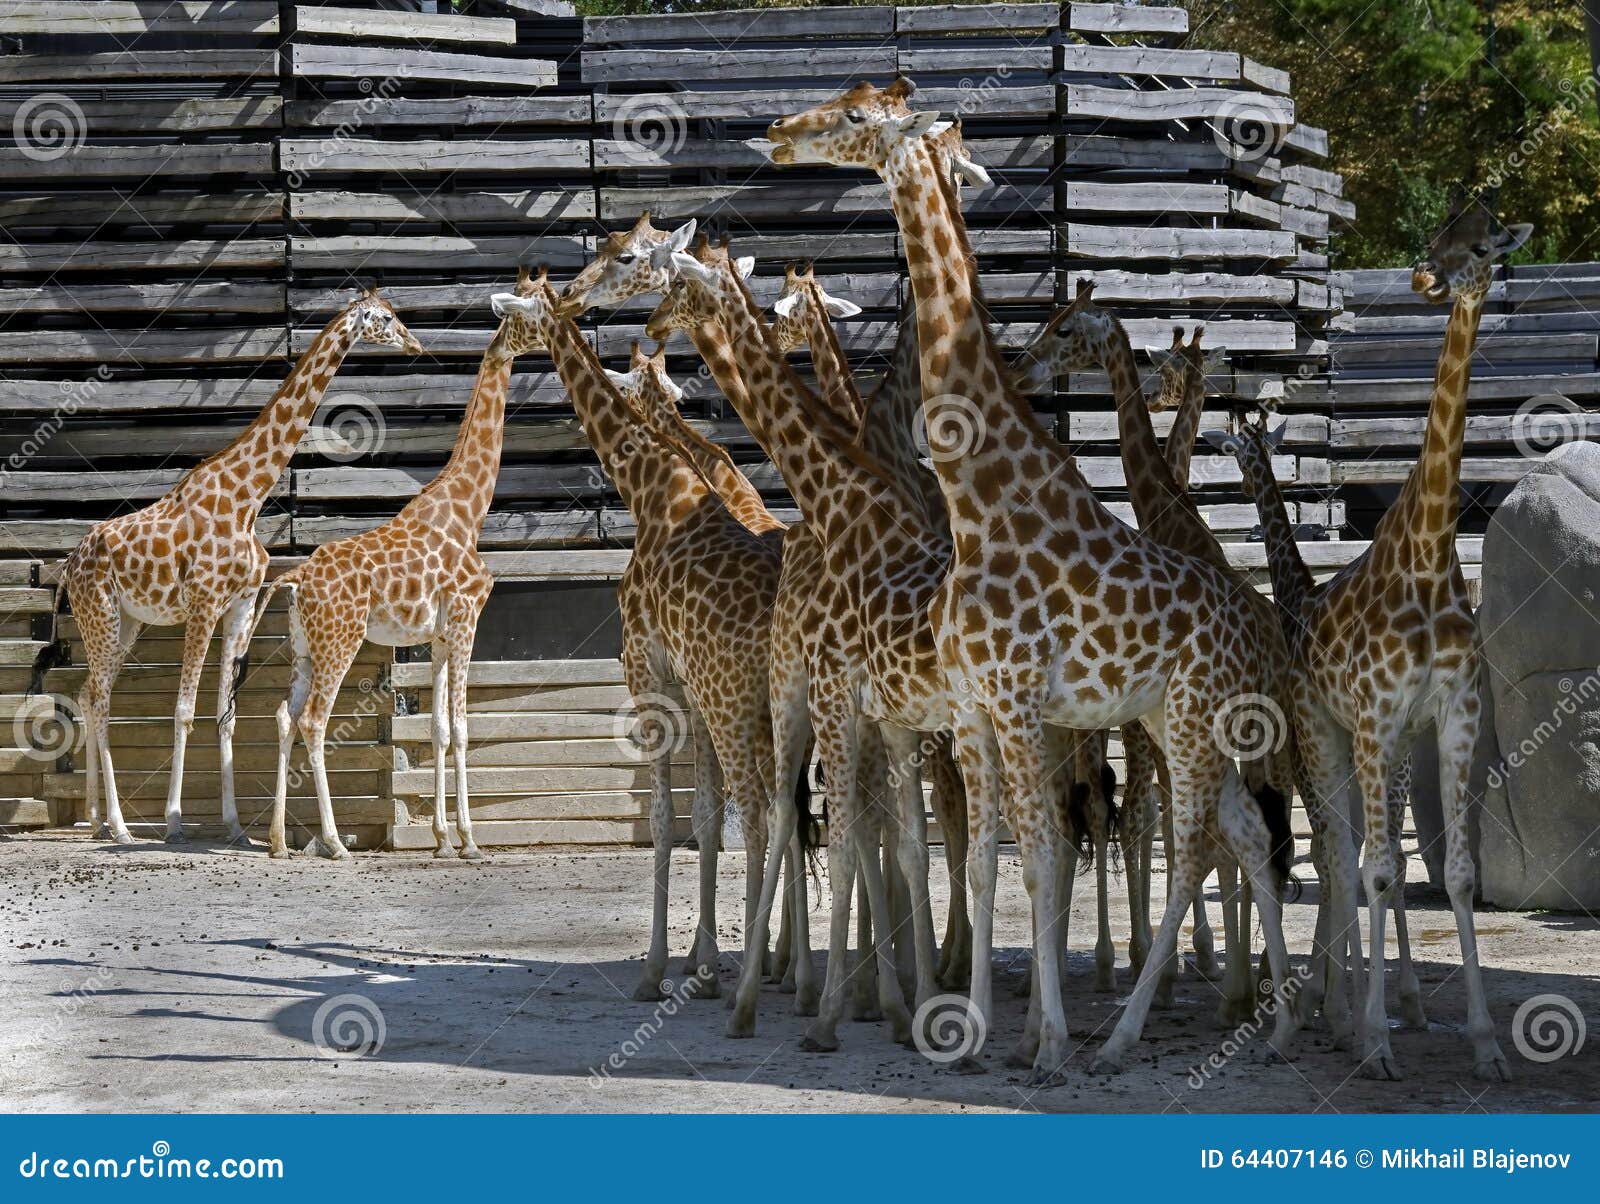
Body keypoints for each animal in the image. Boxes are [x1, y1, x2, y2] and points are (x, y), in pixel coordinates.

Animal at [32, 289, 421, 847]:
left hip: (125, 623)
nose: (416, 344)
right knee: (101, 701)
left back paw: (96, 820)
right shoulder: (203, 603)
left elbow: (226, 716)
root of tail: (67, 565)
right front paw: (175, 821)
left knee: (87, 695)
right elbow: (183, 711)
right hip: (99, 616)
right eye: (387, 318)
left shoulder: (239, 605)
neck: (247, 498)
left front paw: (237, 827)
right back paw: (123, 828)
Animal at [490, 273, 807, 1005]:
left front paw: (662, 968)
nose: (492, 345)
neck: (649, 487)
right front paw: (701, 959)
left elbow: (669, 819)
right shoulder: (687, 690)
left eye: (515, 309)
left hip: (735, 704)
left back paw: (757, 978)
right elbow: (704, 819)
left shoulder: (649, 676)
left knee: (764, 815)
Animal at [767, 79, 1299, 1082]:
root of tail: (1258, 636)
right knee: (1244, 834)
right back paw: (1274, 1014)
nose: (779, 132)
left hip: (1192, 721)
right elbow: (986, 860)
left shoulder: (1016, 700)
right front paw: (976, 1032)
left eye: (855, 116)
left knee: (1200, 844)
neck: (977, 499)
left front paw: (1044, 1042)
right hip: (1174, 720)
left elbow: (1044, 856)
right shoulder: (979, 706)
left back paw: (1127, 1033)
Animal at [1275, 197, 1525, 1083]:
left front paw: (1487, 1046)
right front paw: (1376, 1043)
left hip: (1383, 746)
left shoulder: (1451, 714)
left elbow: (1456, 872)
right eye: (1437, 237)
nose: (1425, 278)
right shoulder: (1376, 715)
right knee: (1347, 857)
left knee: (1359, 858)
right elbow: (1379, 871)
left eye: (1485, 245)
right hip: (1326, 735)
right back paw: (1347, 1021)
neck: (1428, 551)